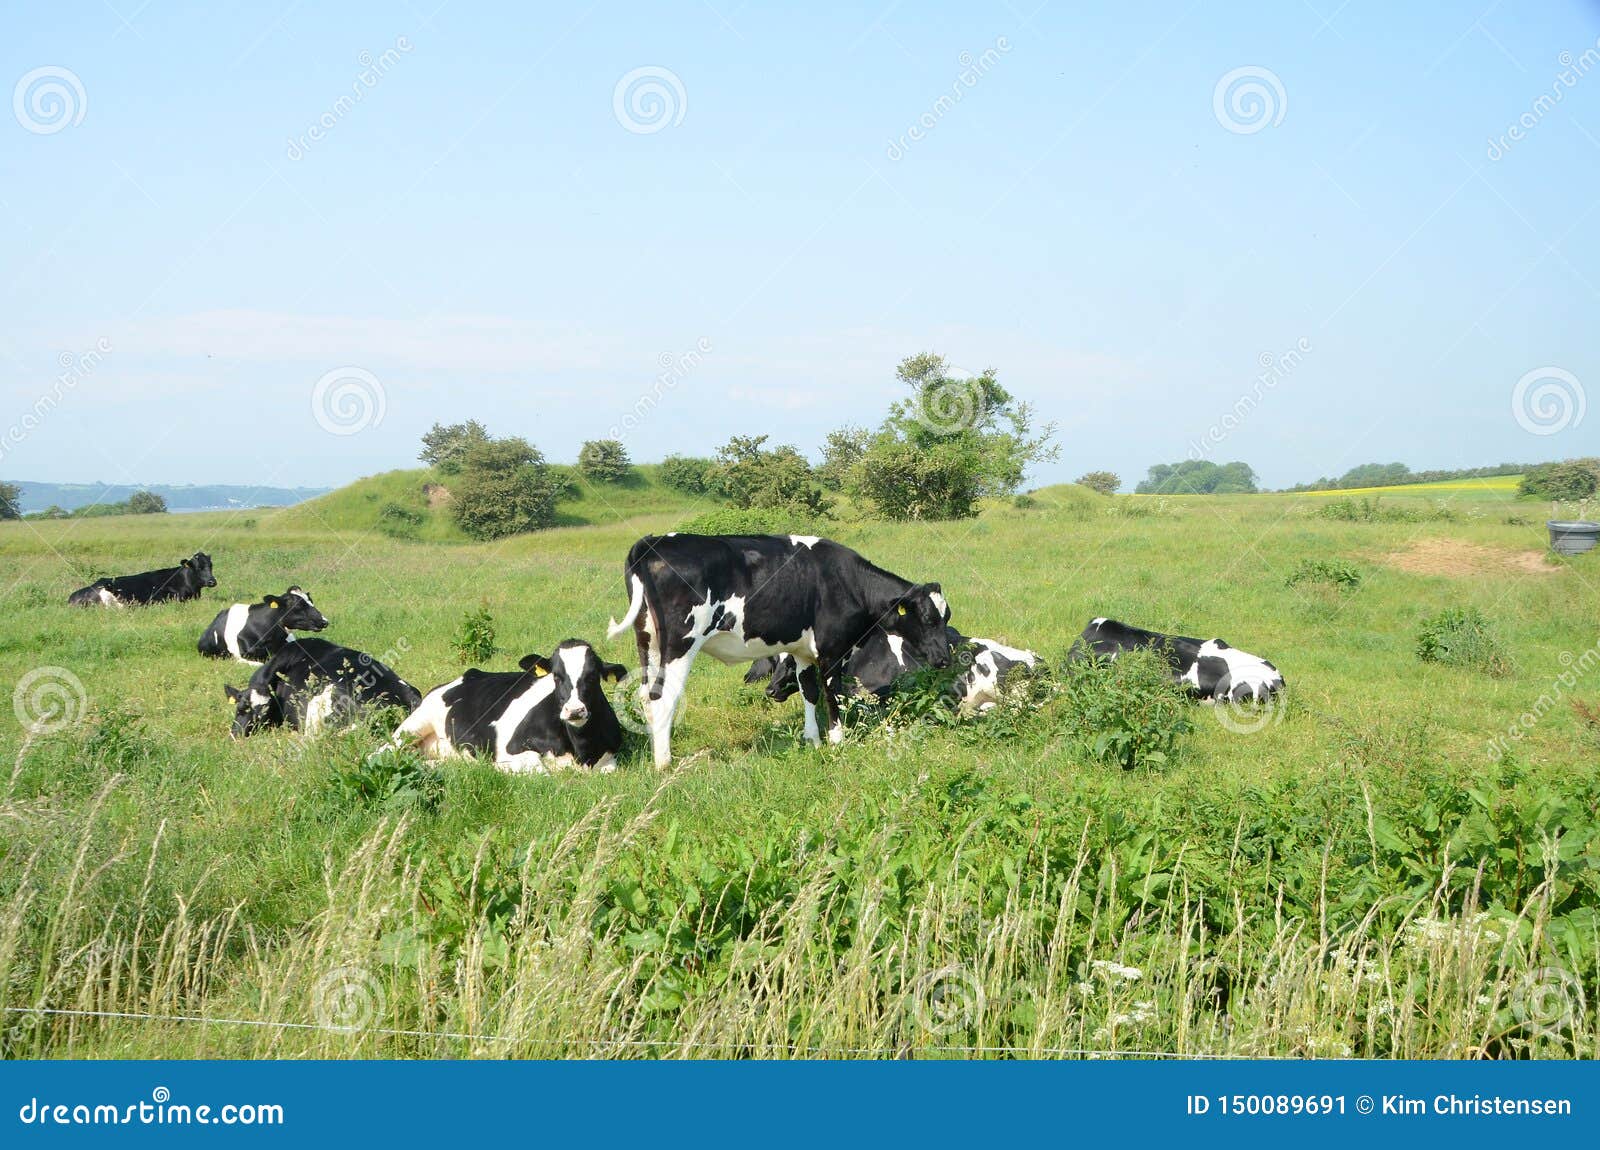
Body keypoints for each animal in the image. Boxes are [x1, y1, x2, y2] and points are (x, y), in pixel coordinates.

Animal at [394, 639, 628, 773]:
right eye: (556, 676)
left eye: (593, 676)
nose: (575, 710)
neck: (581, 750)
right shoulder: (512, 751)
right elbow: (539, 768)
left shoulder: (610, 759)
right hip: (414, 724)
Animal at [608, 533, 953, 767]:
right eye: (928, 618)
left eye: (946, 616)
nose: (944, 659)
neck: (848, 582)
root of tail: (651, 542)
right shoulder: (832, 650)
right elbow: (832, 695)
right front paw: (837, 742)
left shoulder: (803, 651)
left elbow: (809, 692)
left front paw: (813, 740)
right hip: (680, 644)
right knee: (662, 698)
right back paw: (664, 763)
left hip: (648, 642)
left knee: (646, 695)